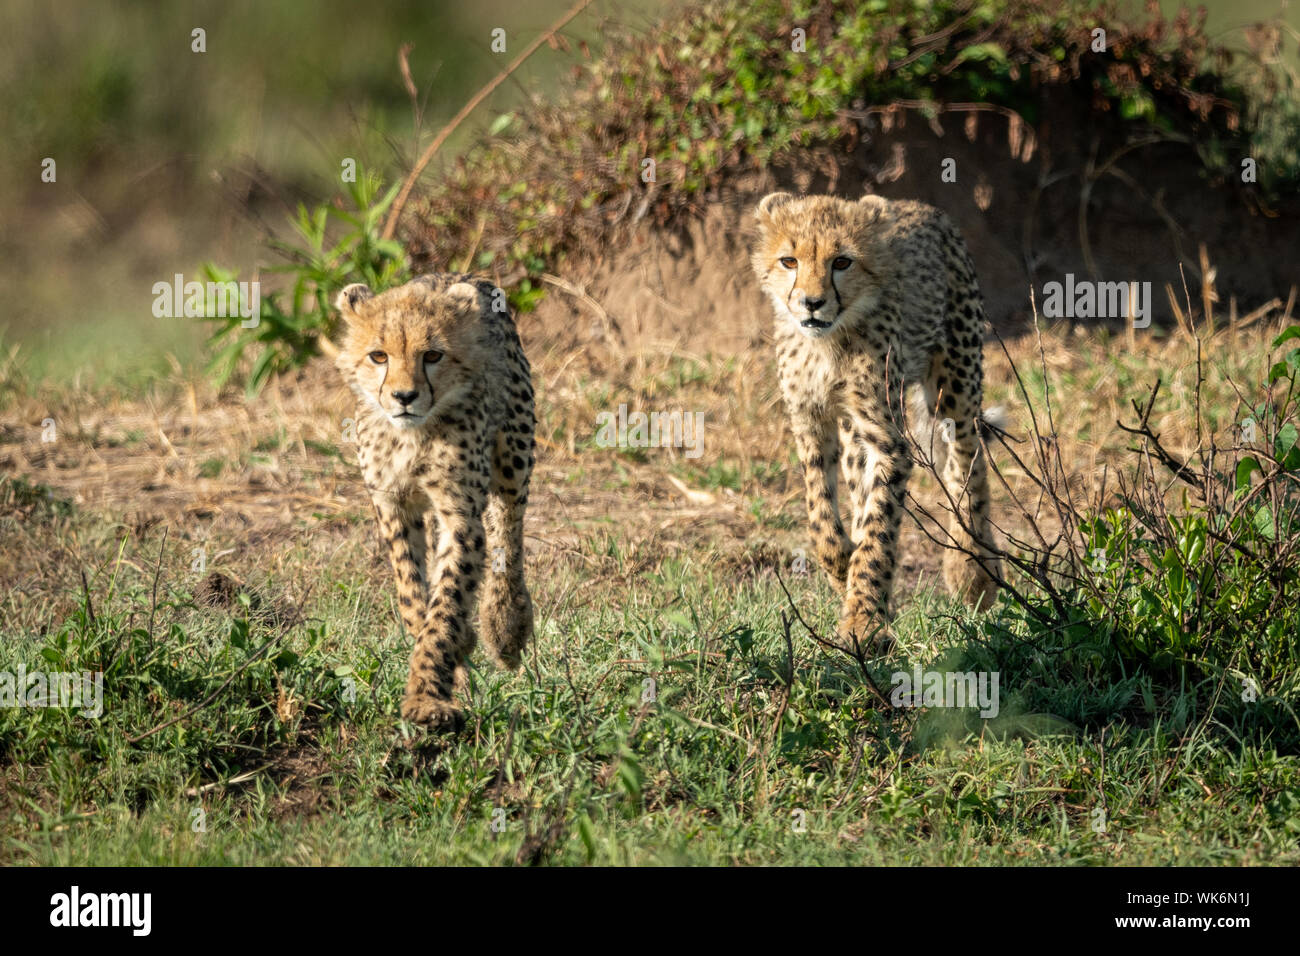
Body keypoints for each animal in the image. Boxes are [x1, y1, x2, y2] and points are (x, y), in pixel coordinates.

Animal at [334, 273, 536, 732]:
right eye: (378, 355)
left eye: (432, 355)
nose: (404, 396)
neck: (413, 436)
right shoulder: (393, 505)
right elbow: (413, 593)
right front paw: (449, 660)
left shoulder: (461, 511)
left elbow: (446, 602)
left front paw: (428, 697)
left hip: (514, 454)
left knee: (508, 529)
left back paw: (506, 626)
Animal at [751, 191, 1001, 654]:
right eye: (789, 261)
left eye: (842, 262)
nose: (811, 302)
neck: (827, 343)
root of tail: (922, 206)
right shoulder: (811, 422)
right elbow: (822, 518)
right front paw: (845, 573)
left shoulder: (890, 443)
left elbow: (879, 528)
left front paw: (864, 620)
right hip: (856, 431)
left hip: (956, 382)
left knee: (966, 461)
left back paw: (971, 571)